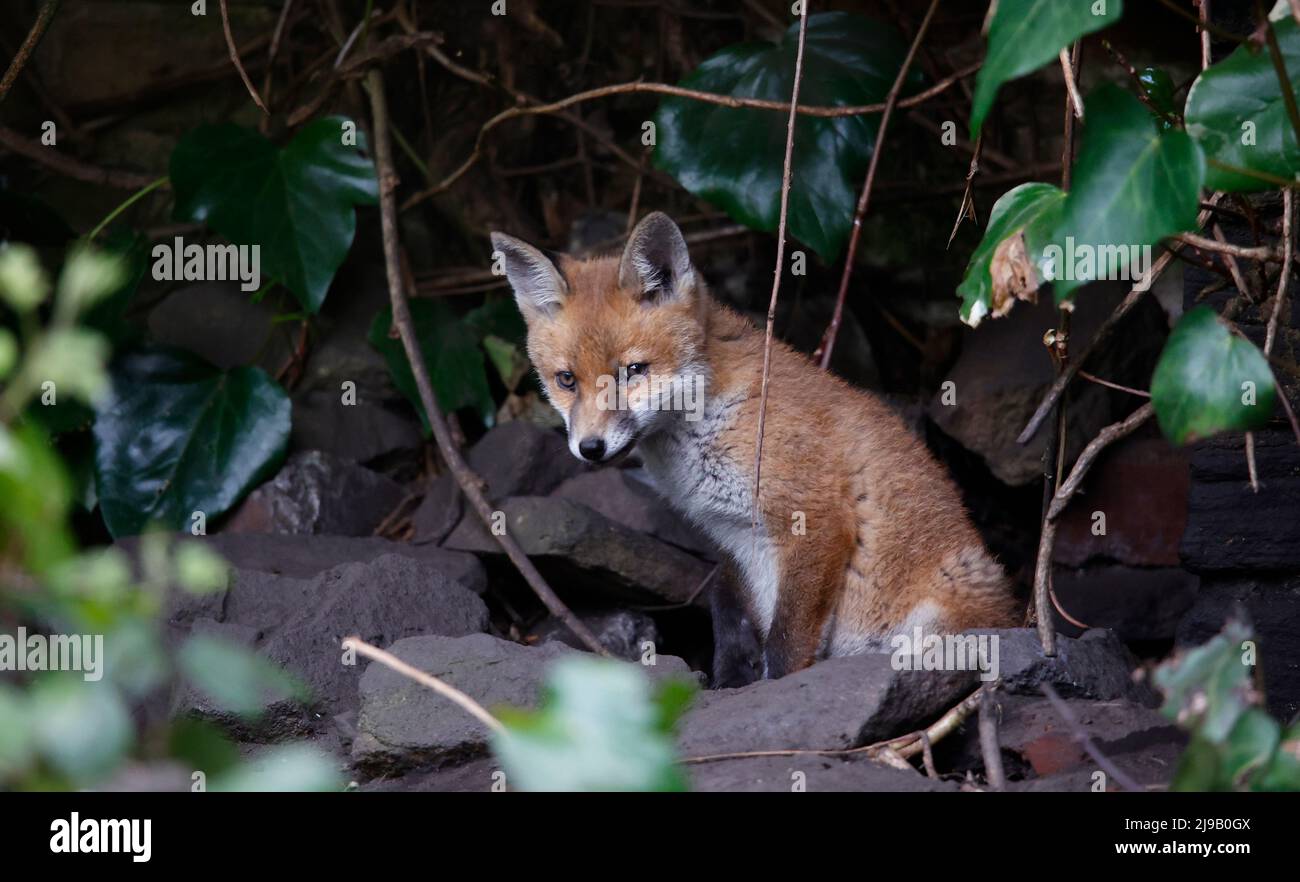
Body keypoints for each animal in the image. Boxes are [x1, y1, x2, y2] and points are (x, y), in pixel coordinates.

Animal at [491, 212, 1020, 683]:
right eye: (566, 380)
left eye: (633, 371)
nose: (591, 448)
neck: (714, 423)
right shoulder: (734, 541)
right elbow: (732, 621)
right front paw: (729, 679)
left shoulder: (814, 518)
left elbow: (786, 645)